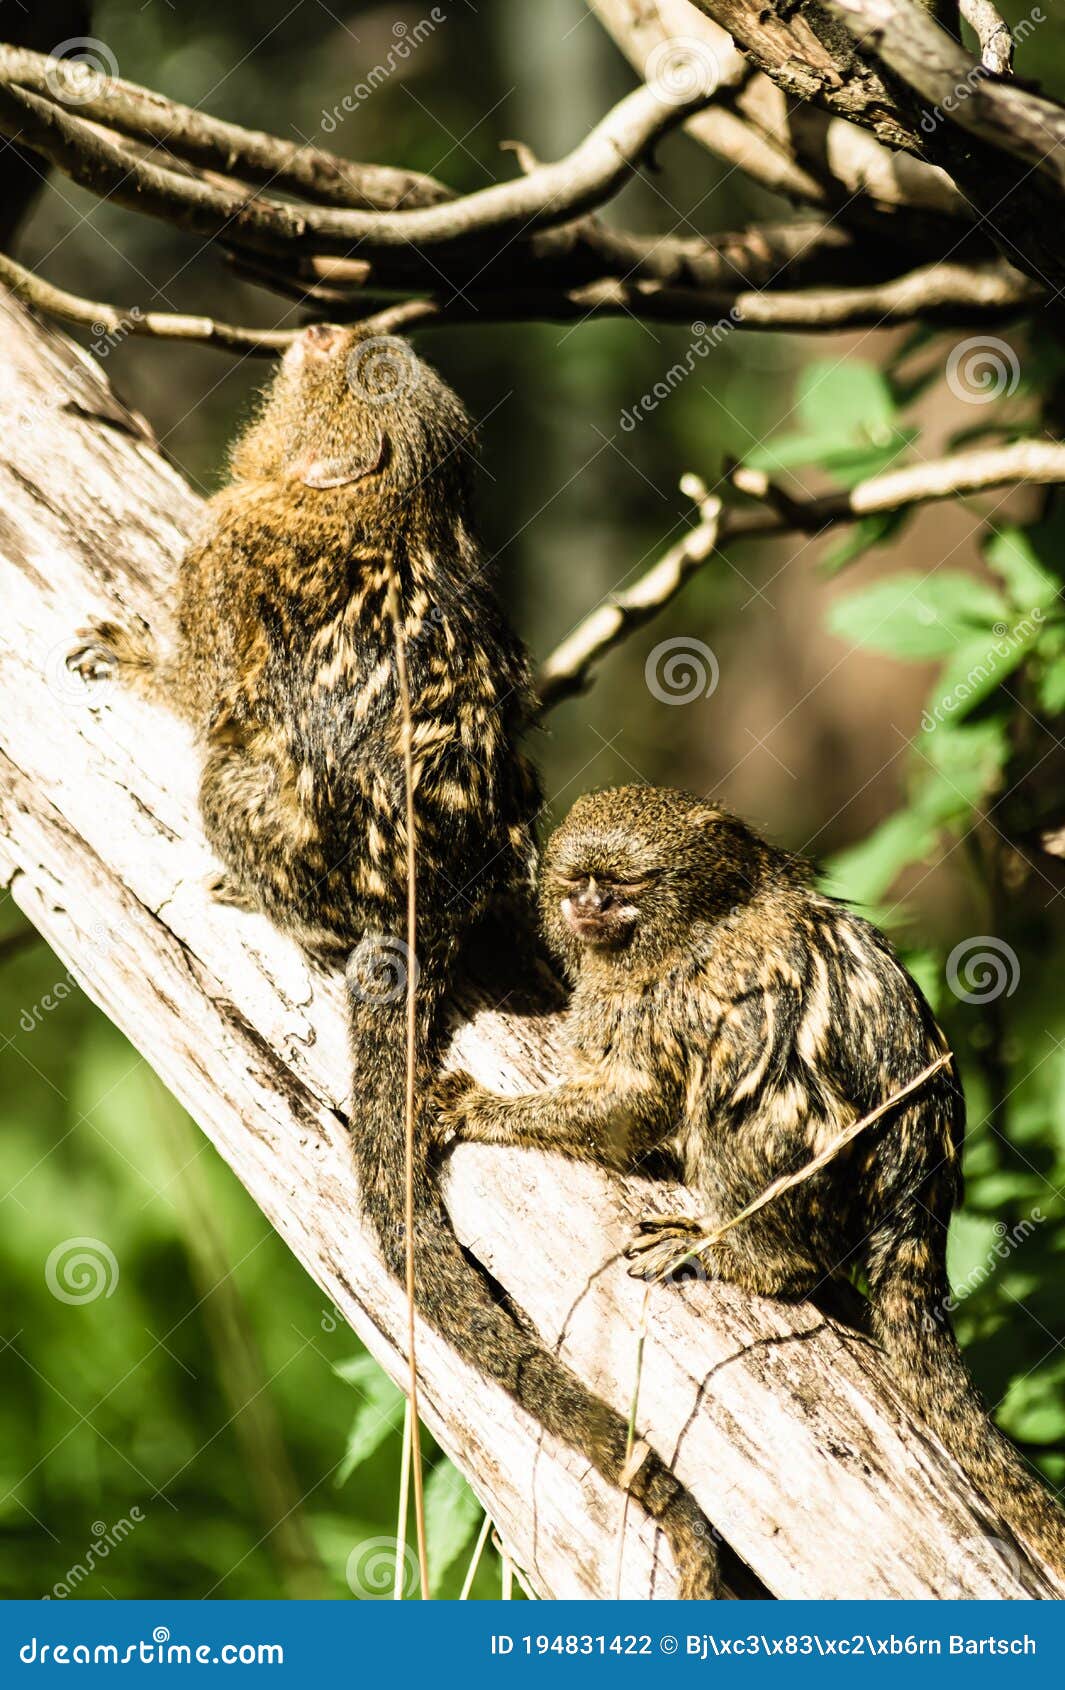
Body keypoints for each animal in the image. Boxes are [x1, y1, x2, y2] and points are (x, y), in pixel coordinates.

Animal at [67, 330, 718, 1599]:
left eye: (352, 372)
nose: (325, 333)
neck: (370, 517)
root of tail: (421, 911)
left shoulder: (222, 563)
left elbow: (204, 686)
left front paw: (134, 658)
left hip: (269, 823)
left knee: (232, 775)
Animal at [433, 783, 1065, 1581]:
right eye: (578, 880)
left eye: (626, 884)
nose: (587, 906)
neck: (703, 919)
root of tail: (918, 1183)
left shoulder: (669, 1000)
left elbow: (634, 1102)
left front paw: (483, 1109)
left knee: (743, 1085)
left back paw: (740, 1253)